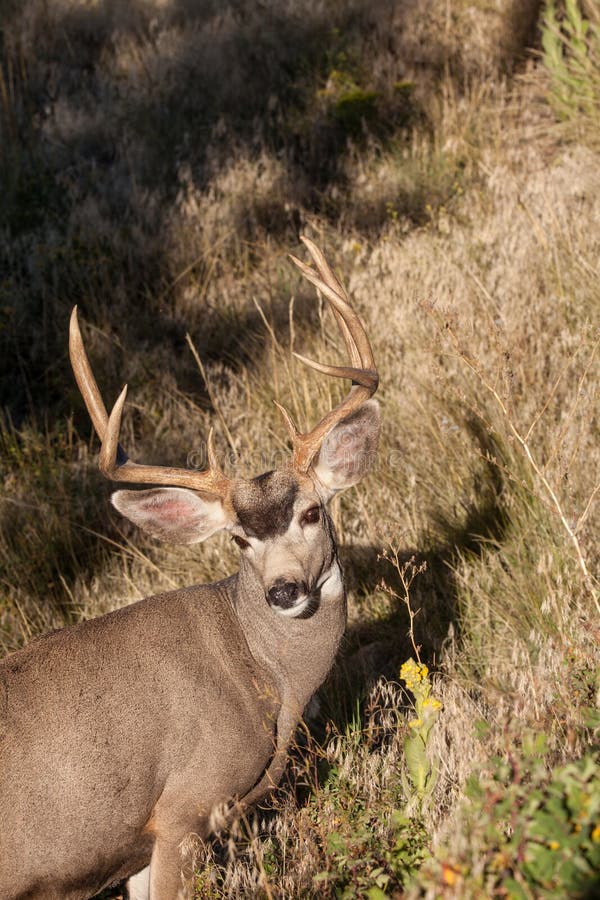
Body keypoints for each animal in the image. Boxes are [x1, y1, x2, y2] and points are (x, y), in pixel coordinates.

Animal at [0, 238, 380, 900]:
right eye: (238, 540)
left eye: (312, 511)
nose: (284, 589)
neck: (265, 678)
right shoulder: (185, 806)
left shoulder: (140, 847)